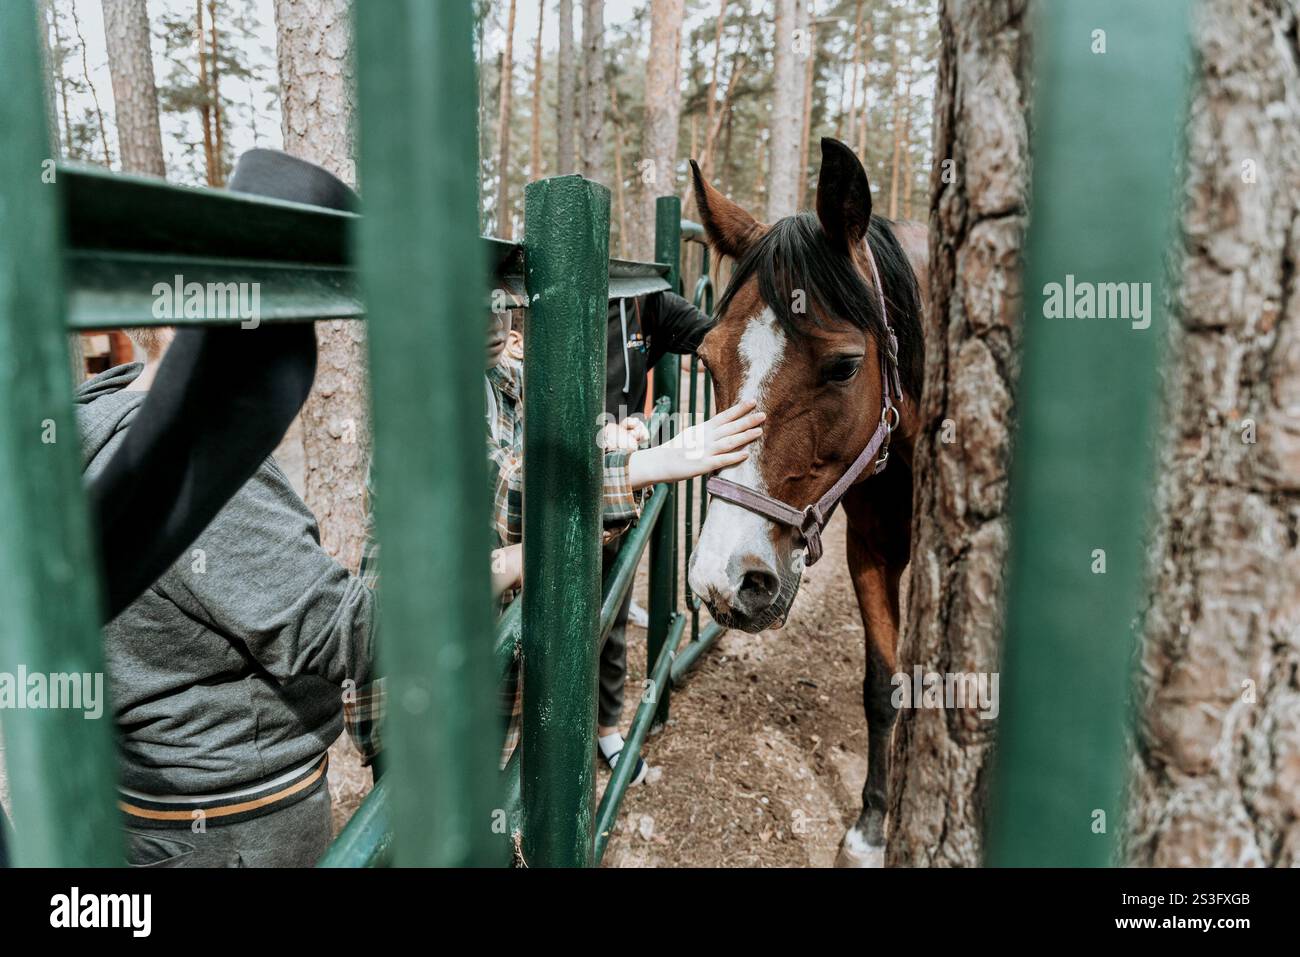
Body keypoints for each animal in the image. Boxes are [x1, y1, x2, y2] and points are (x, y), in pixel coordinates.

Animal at [686, 137, 927, 867]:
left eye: (844, 365)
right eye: (706, 359)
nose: (724, 579)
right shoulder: (870, 553)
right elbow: (883, 688)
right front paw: (872, 826)